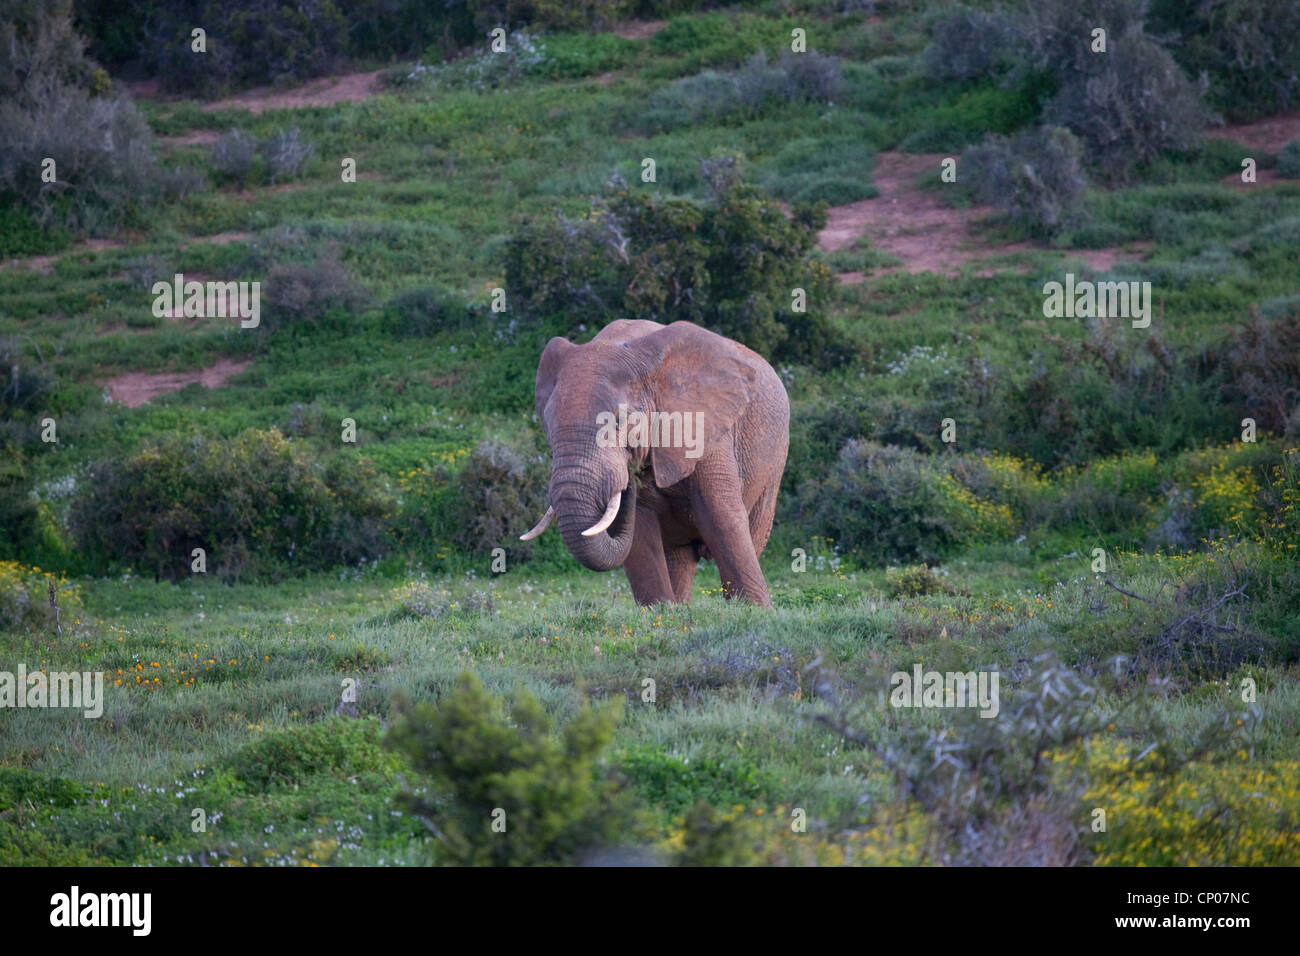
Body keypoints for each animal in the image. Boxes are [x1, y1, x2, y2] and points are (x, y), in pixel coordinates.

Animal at [520, 318, 789, 606]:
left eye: (620, 422)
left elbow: (721, 513)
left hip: (775, 464)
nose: (628, 478)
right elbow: (641, 528)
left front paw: (754, 610)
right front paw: (661, 611)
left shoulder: (706, 426)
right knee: (679, 557)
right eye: (548, 427)